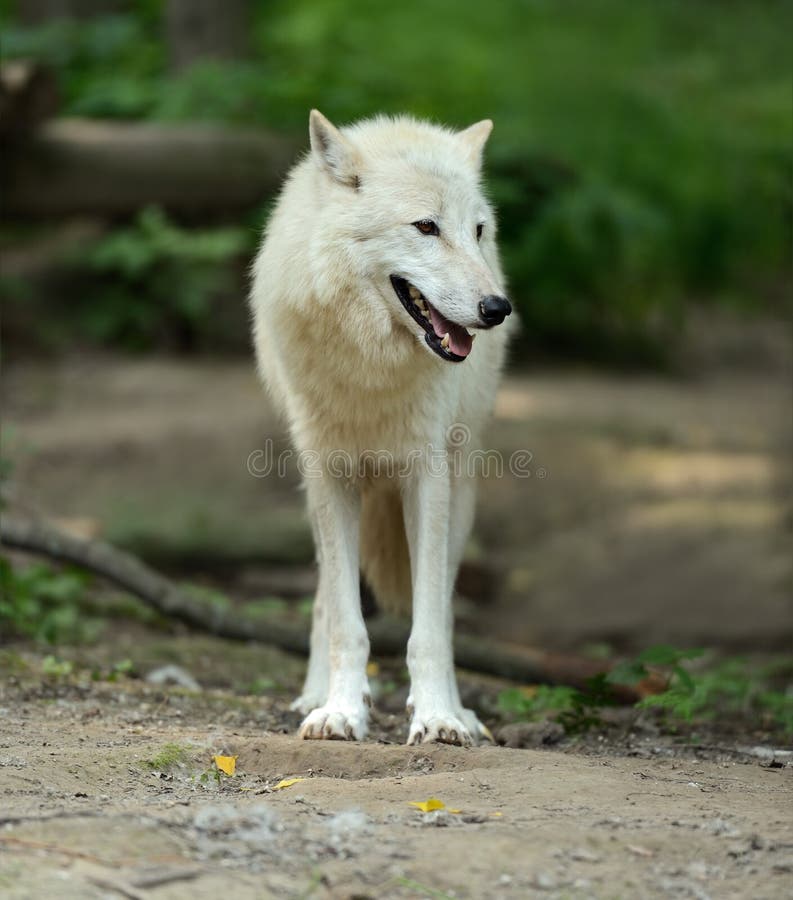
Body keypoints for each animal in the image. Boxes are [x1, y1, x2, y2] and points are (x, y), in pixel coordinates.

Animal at [250, 110, 514, 745]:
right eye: (426, 227)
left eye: (476, 231)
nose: (497, 308)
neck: (370, 364)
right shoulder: (331, 477)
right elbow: (346, 623)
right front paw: (341, 712)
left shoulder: (427, 477)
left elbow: (429, 628)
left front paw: (439, 717)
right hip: (317, 497)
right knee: (324, 598)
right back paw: (313, 694)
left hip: (461, 493)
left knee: (445, 605)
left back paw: (461, 711)